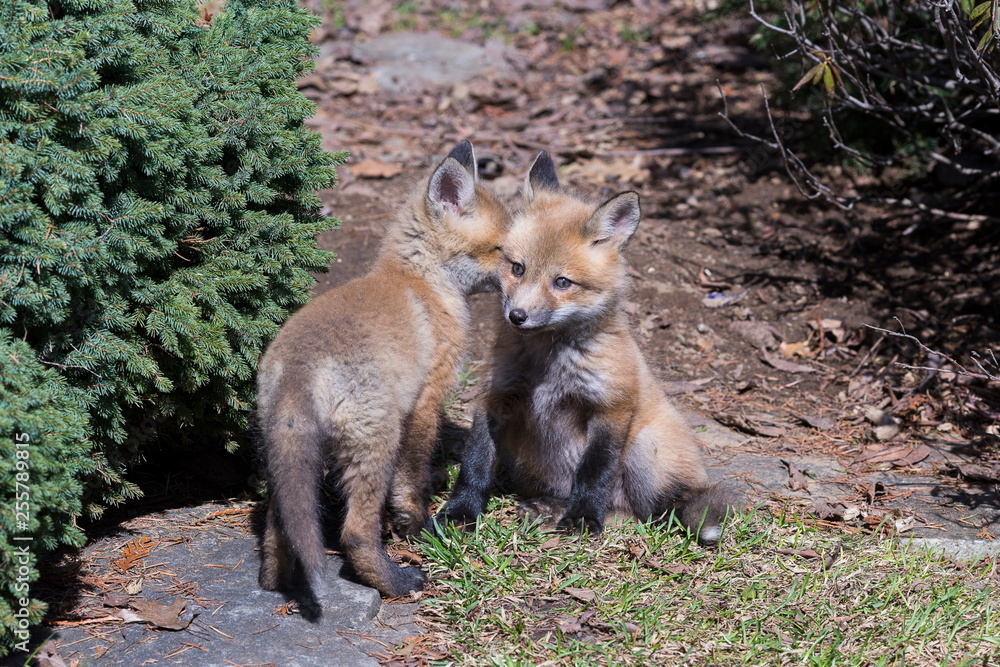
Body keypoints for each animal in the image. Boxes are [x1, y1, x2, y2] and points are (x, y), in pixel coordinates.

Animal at [257, 141, 511, 606]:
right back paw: (395, 581)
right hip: (377, 441)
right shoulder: (428, 397)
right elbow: (411, 478)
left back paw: (277, 583)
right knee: (355, 533)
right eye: (506, 251)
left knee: (279, 526)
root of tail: (300, 365)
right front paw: (418, 523)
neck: (422, 283)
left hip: (287, 453)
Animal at [442, 151, 736, 544]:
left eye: (563, 282)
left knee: (647, 514)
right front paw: (460, 512)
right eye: (517, 268)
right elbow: (476, 461)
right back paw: (548, 508)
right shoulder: (496, 396)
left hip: (645, 448)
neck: (550, 363)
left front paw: (583, 519)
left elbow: (594, 473)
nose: (516, 316)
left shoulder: (611, 408)